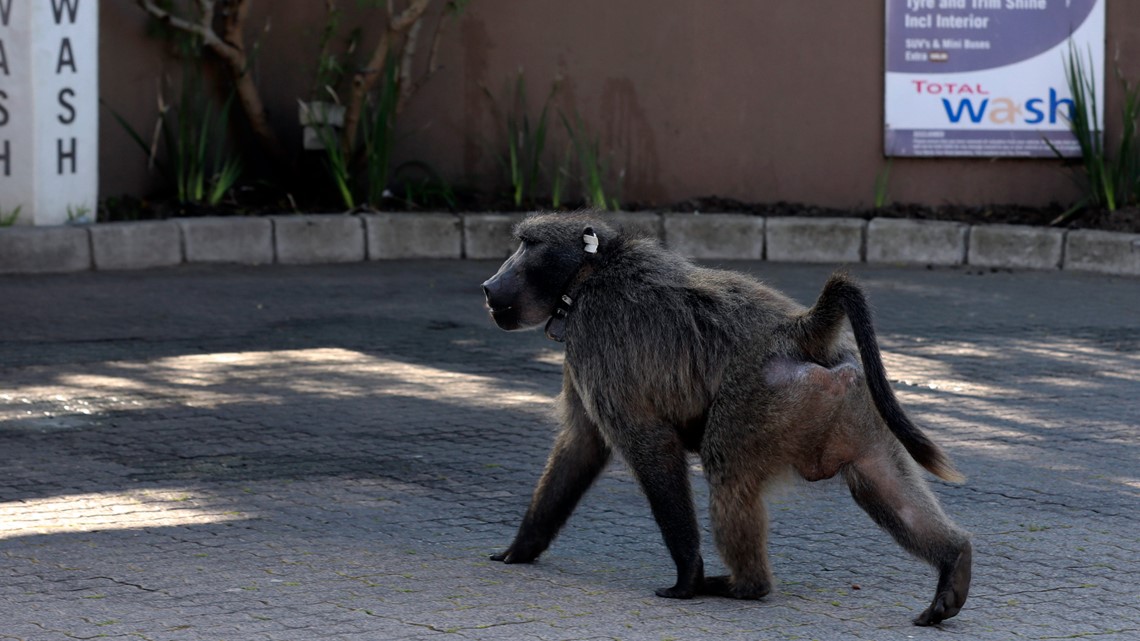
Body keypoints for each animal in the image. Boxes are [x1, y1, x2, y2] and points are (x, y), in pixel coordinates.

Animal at [481, 212, 972, 626]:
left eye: (527, 245)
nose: (489, 285)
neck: (589, 275)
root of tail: (798, 330)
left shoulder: (593, 333)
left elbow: (647, 442)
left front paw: (686, 577)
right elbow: (580, 443)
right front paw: (520, 550)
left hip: (757, 400)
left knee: (727, 474)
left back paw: (741, 586)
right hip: (854, 397)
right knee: (877, 478)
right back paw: (955, 563)